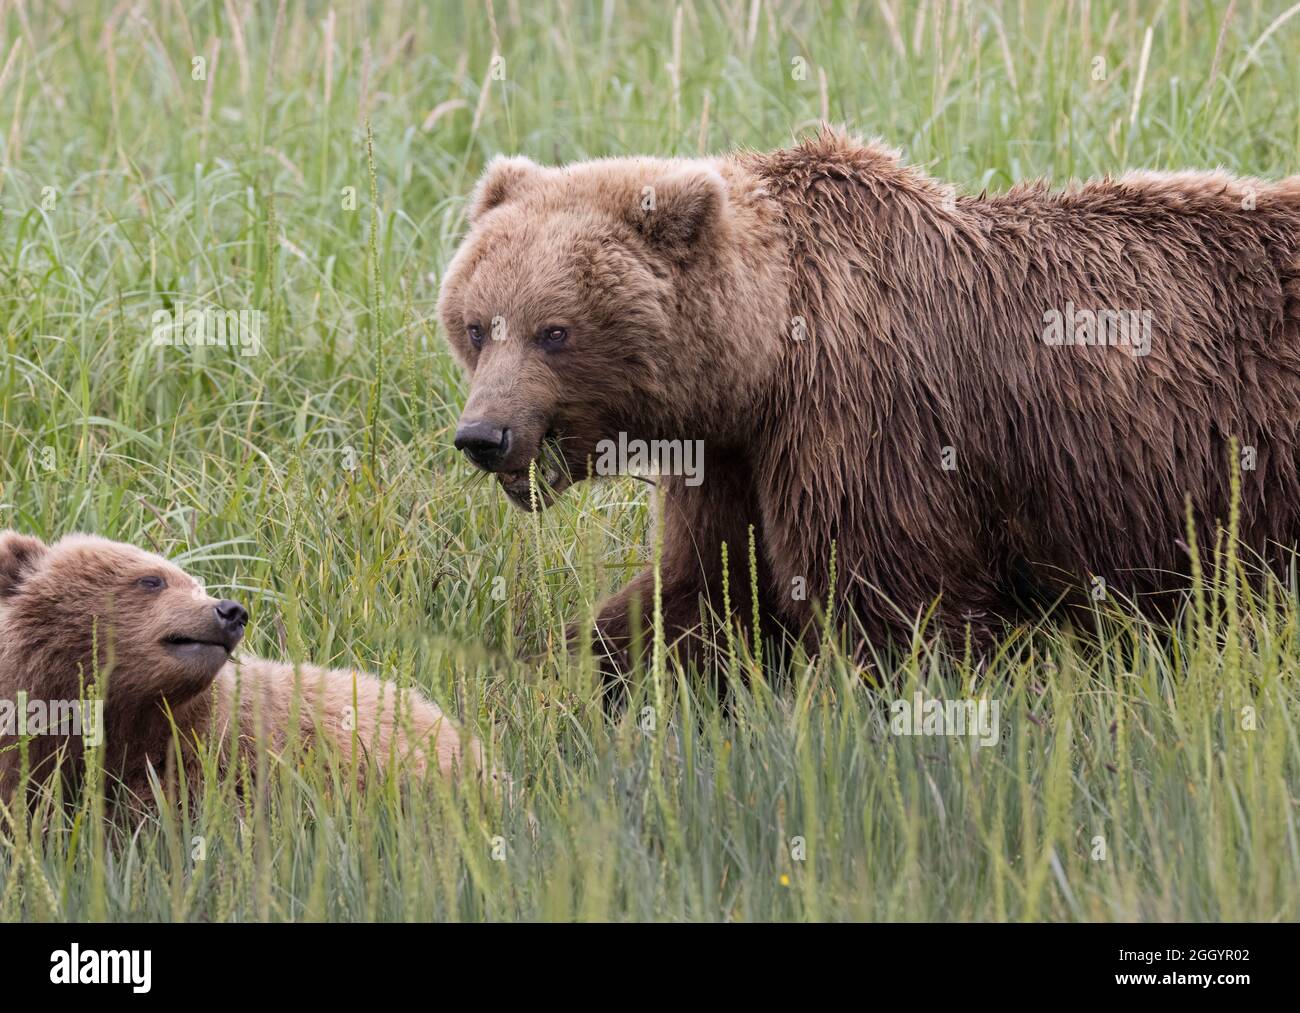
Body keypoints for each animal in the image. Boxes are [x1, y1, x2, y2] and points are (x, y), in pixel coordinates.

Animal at [436, 127, 1300, 683]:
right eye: (476, 325)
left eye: (554, 331)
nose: (484, 434)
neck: (764, 361)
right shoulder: (733, 459)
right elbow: (706, 593)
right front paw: (559, 675)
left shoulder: (861, 422)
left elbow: (891, 608)